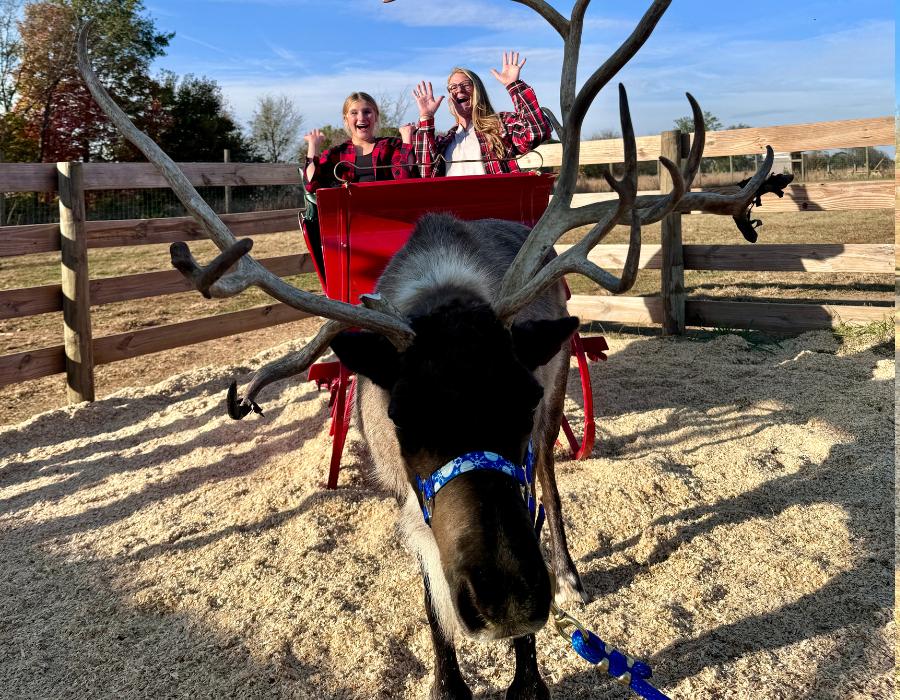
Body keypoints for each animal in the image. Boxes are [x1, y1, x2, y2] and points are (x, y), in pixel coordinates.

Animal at [77, 1, 779, 697]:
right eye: (399, 414)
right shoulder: (405, 492)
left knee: (552, 482)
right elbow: (431, 598)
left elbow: (531, 526)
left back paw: (568, 570)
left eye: (519, 397)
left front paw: (529, 665)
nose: (507, 600)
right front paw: (449, 675)